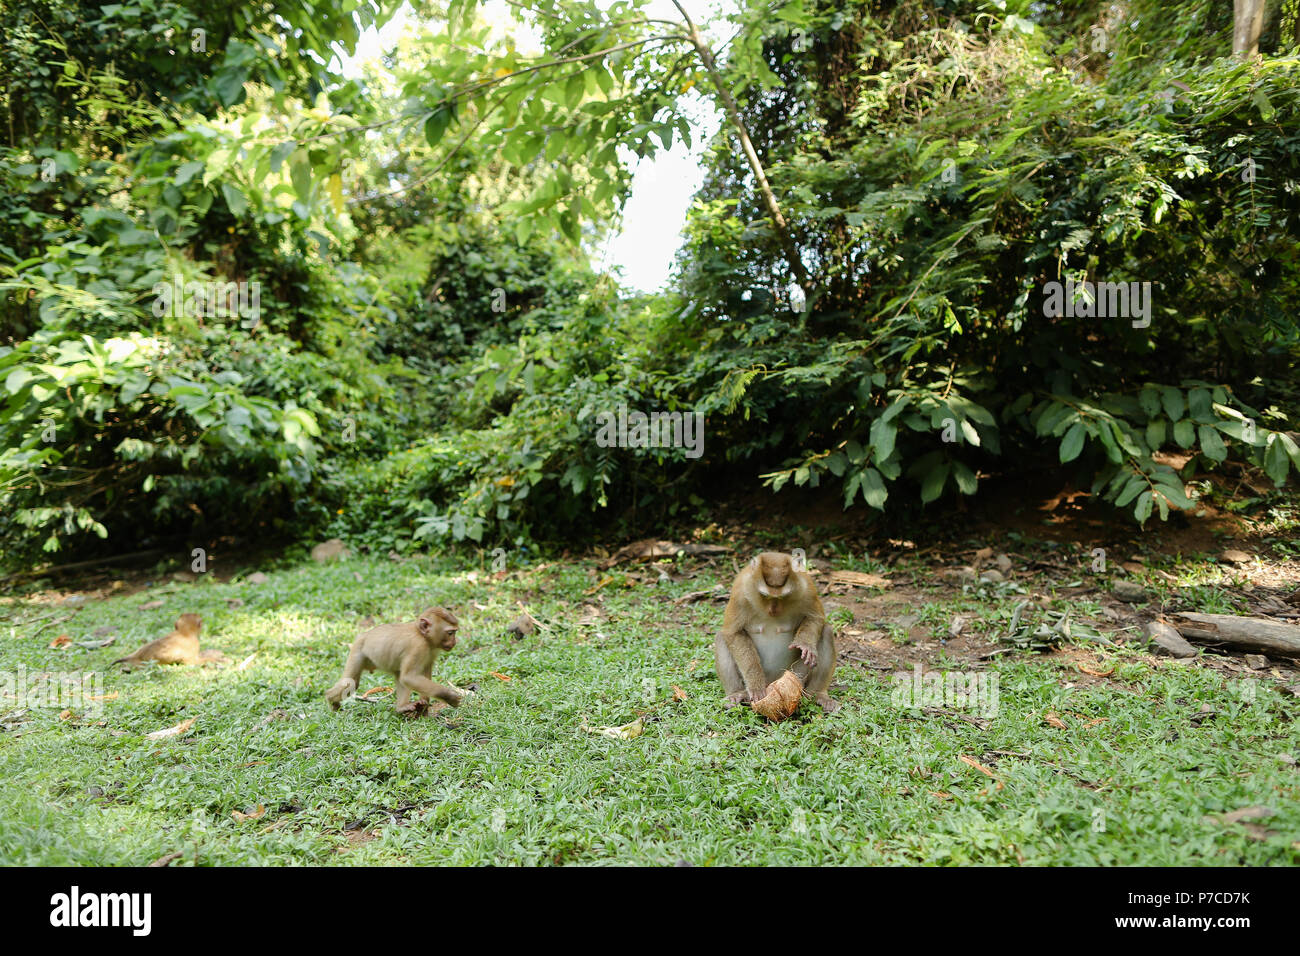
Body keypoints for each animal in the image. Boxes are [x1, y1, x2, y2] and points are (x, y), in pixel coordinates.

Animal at [325, 607, 463, 714]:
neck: (423, 636)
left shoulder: (431, 650)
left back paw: (401, 707)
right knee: (351, 683)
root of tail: (363, 635)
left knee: (397, 674)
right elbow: (409, 677)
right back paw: (330, 698)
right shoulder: (418, 648)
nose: (454, 642)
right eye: (450, 633)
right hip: (357, 651)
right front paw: (449, 696)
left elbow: (422, 671)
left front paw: (424, 704)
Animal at [714, 552, 840, 713]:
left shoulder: (807, 588)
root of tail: (772, 681)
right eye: (765, 595)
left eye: (782, 597)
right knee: (721, 638)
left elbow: (816, 618)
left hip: (797, 677)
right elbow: (733, 632)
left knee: (826, 632)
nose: (773, 610)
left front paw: (805, 644)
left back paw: (818, 695)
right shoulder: (740, 593)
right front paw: (755, 684)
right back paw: (736, 694)